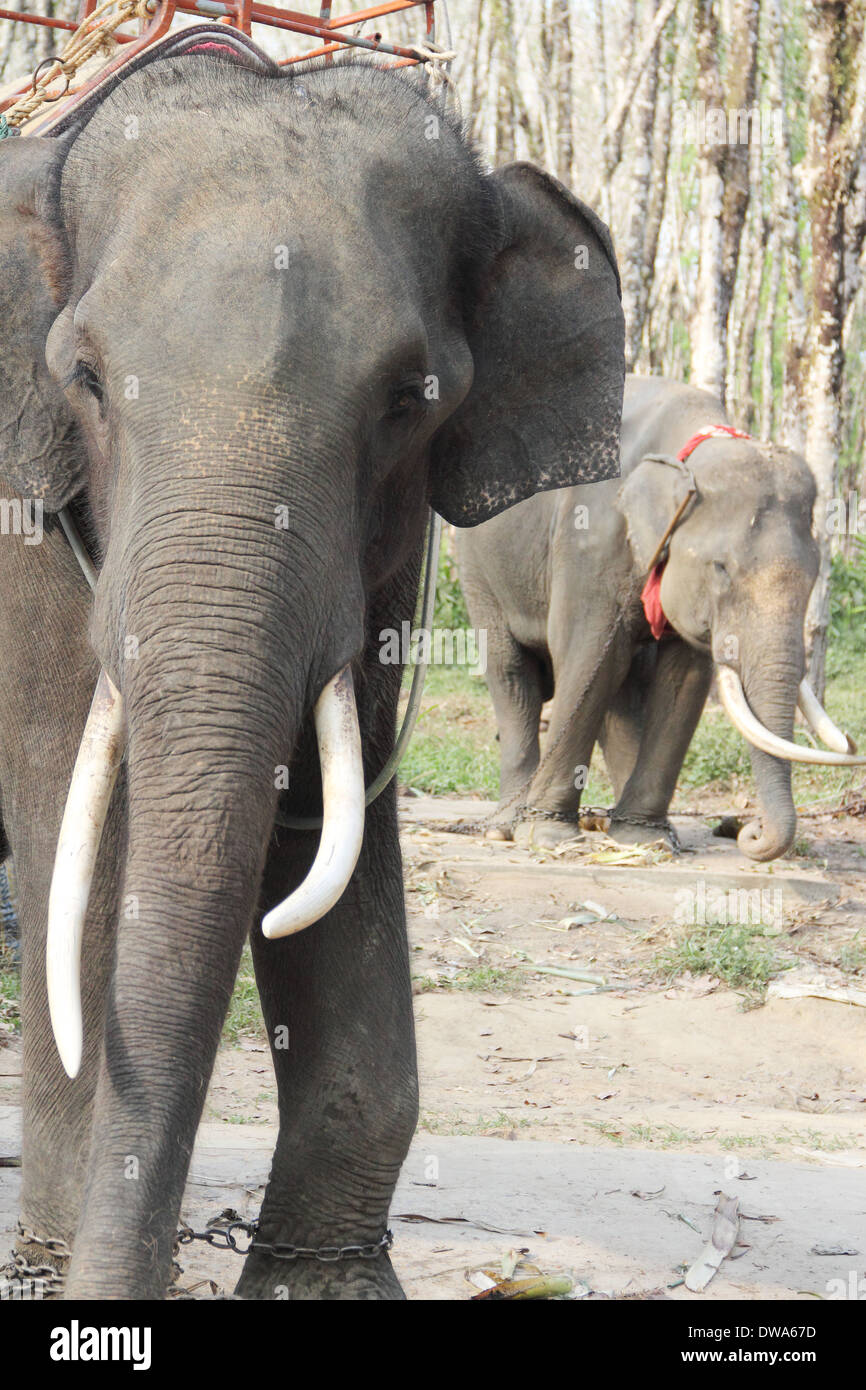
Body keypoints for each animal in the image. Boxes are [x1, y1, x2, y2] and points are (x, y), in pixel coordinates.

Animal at [0, 28, 625, 1299]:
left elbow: (329, 824)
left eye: (408, 399)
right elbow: (73, 816)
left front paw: (320, 1284)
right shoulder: (31, 519)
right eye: (83, 377)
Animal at [457, 372, 865, 862]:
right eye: (721, 568)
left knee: (622, 685)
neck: (692, 448)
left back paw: (610, 821)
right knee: (513, 674)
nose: (746, 830)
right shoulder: (589, 539)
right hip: (476, 565)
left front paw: (644, 838)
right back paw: (505, 826)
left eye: (813, 575)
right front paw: (548, 835)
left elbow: (682, 679)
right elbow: (586, 657)